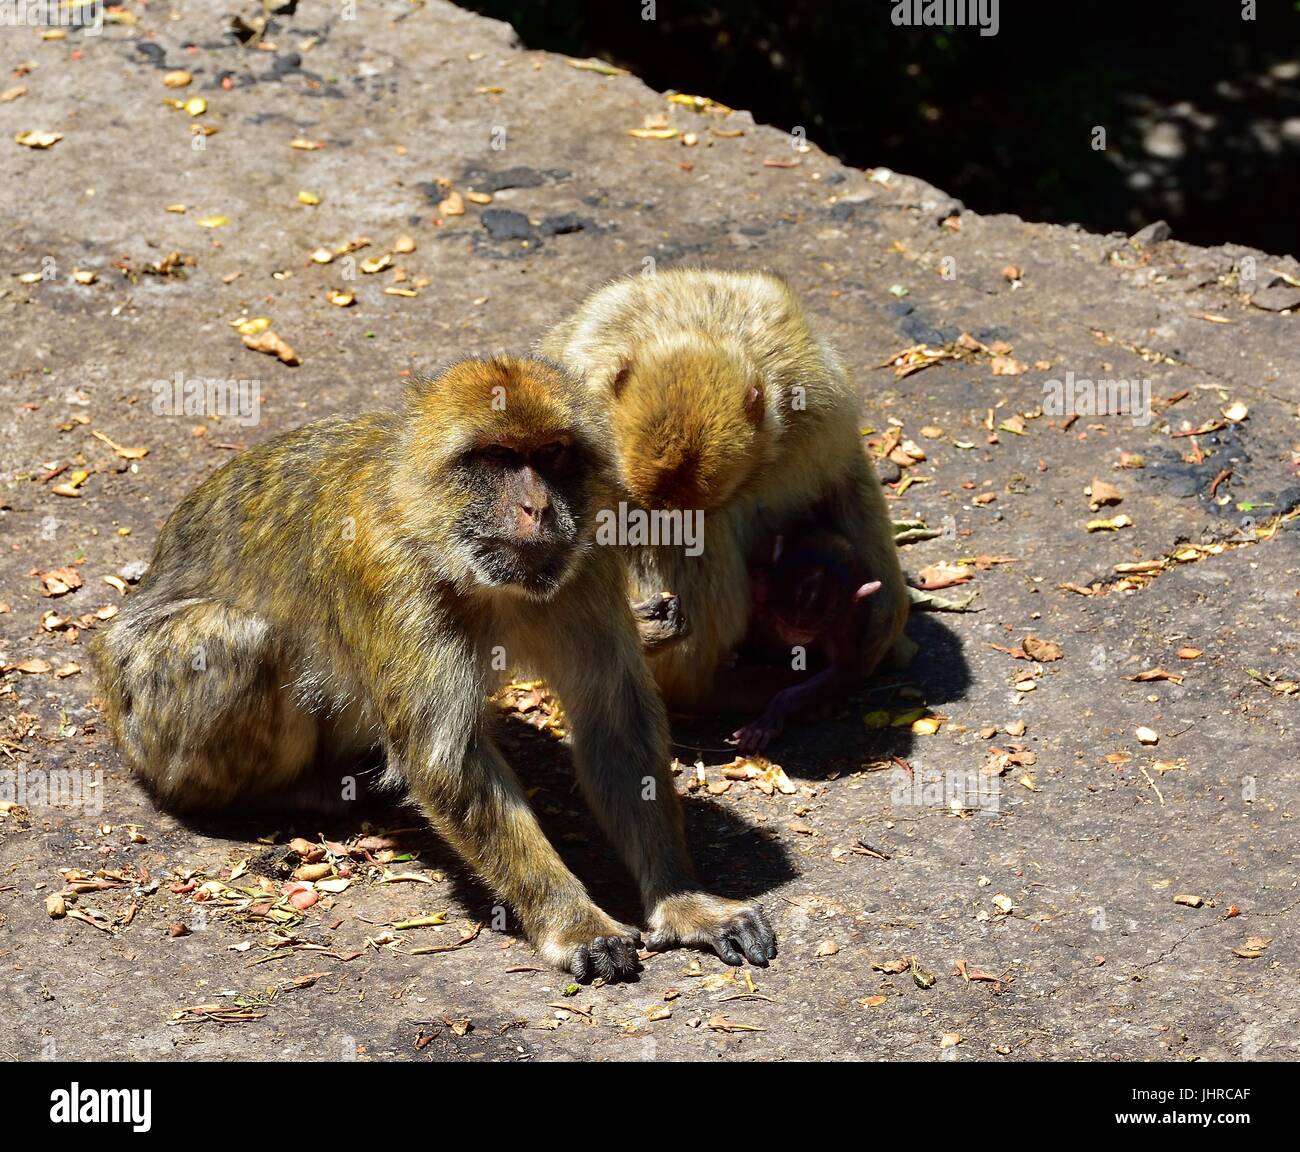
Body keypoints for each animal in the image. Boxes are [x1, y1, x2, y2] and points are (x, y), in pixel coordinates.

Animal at [93, 357, 776, 980]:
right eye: (498, 458)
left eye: (552, 455)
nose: (539, 508)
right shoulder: (388, 572)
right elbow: (446, 761)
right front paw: (574, 922)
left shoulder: (586, 562)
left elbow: (615, 723)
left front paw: (685, 904)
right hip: (146, 717)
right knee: (240, 640)